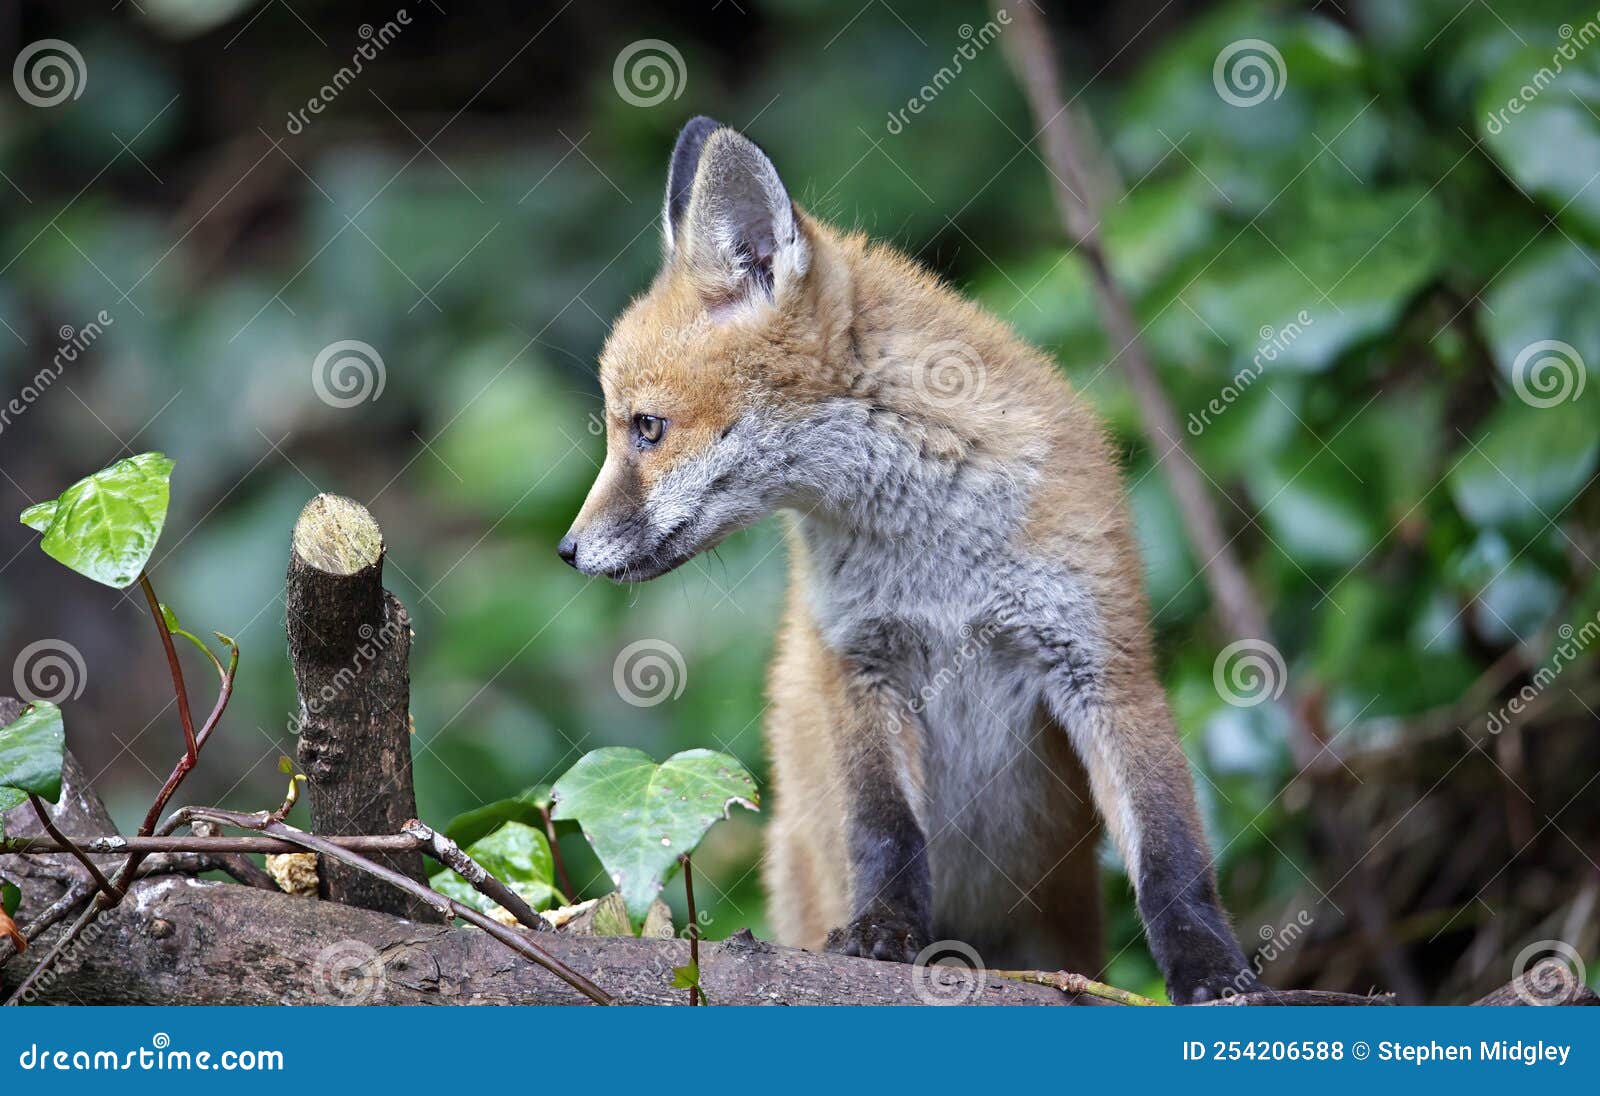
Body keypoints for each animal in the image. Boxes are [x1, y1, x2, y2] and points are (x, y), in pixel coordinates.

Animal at [559, 116, 1259, 1003]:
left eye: (646, 428)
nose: (568, 550)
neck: (939, 561)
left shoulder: (1102, 660)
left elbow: (1173, 854)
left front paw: (1212, 966)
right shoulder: (860, 662)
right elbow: (886, 832)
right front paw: (883, 932)